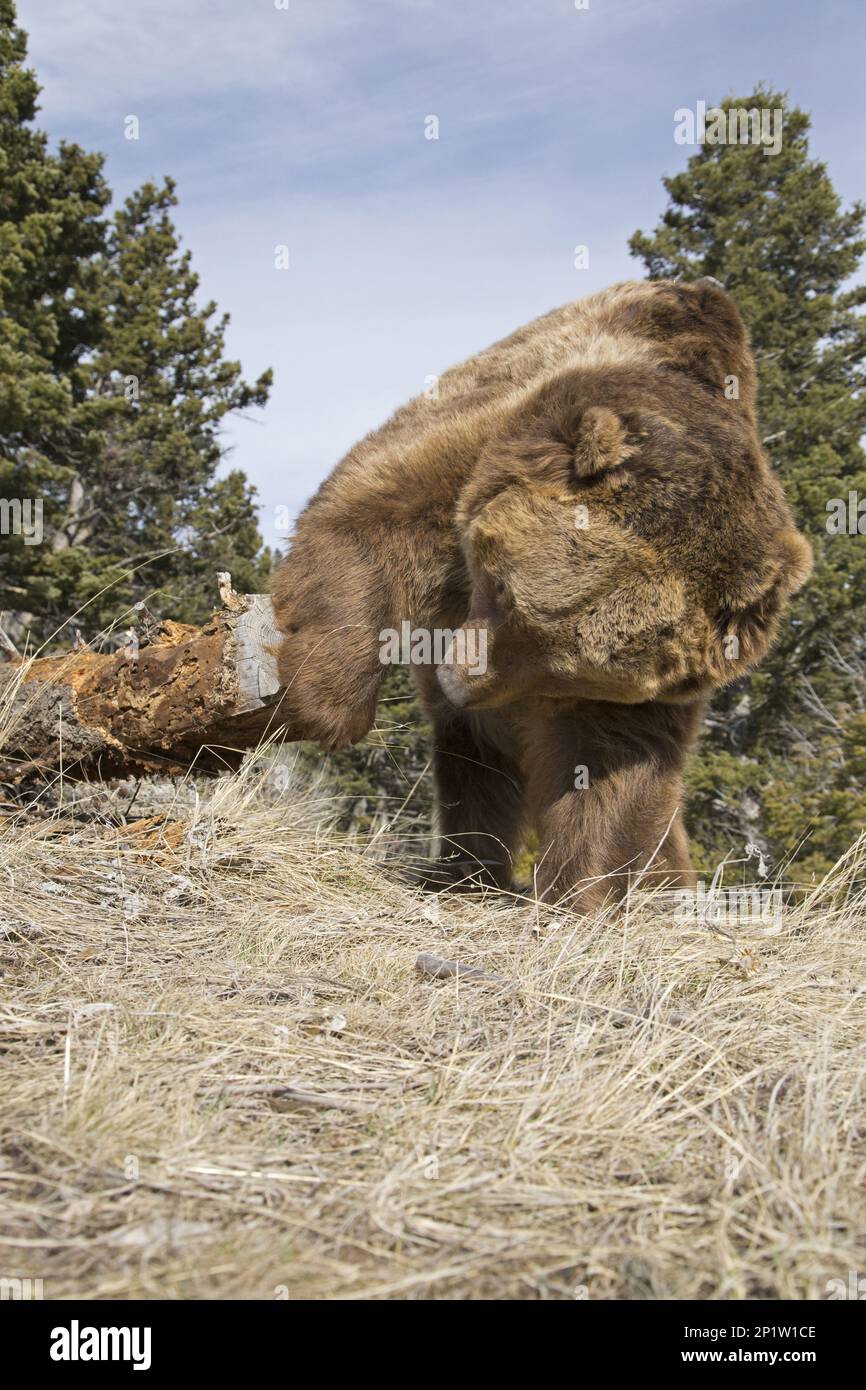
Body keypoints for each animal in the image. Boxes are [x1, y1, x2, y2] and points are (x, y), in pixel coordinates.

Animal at [270, 279, 813, 910]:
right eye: (503, 590)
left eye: (570, 671)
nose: (457, 681)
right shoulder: (485, 435)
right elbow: (366, 513)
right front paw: (324, 705)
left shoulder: (652, 687)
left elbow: (607, 765)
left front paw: (582, 896)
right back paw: (457, 871)